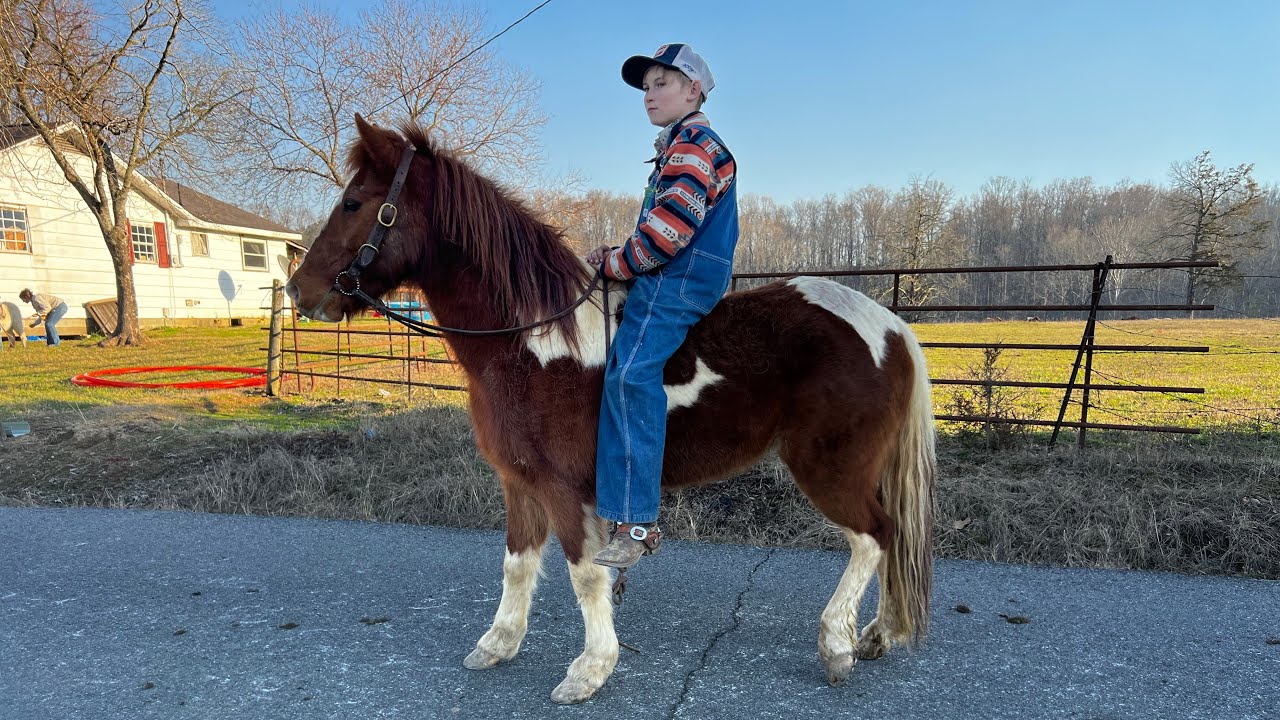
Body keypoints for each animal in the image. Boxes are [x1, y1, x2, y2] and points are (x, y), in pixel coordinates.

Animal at [285, 115, 937, 704]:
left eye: (353, 202)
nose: (297, 290)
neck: (533, 342)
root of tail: (891, 326)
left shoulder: (563, 488)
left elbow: (585, 572)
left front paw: (591, 669)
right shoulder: (520, 482)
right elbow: (517, 564)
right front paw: (499, 643)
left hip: (830, 470)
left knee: (874, 536)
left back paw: (837, 644)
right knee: (892, 539)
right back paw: (876, 635)